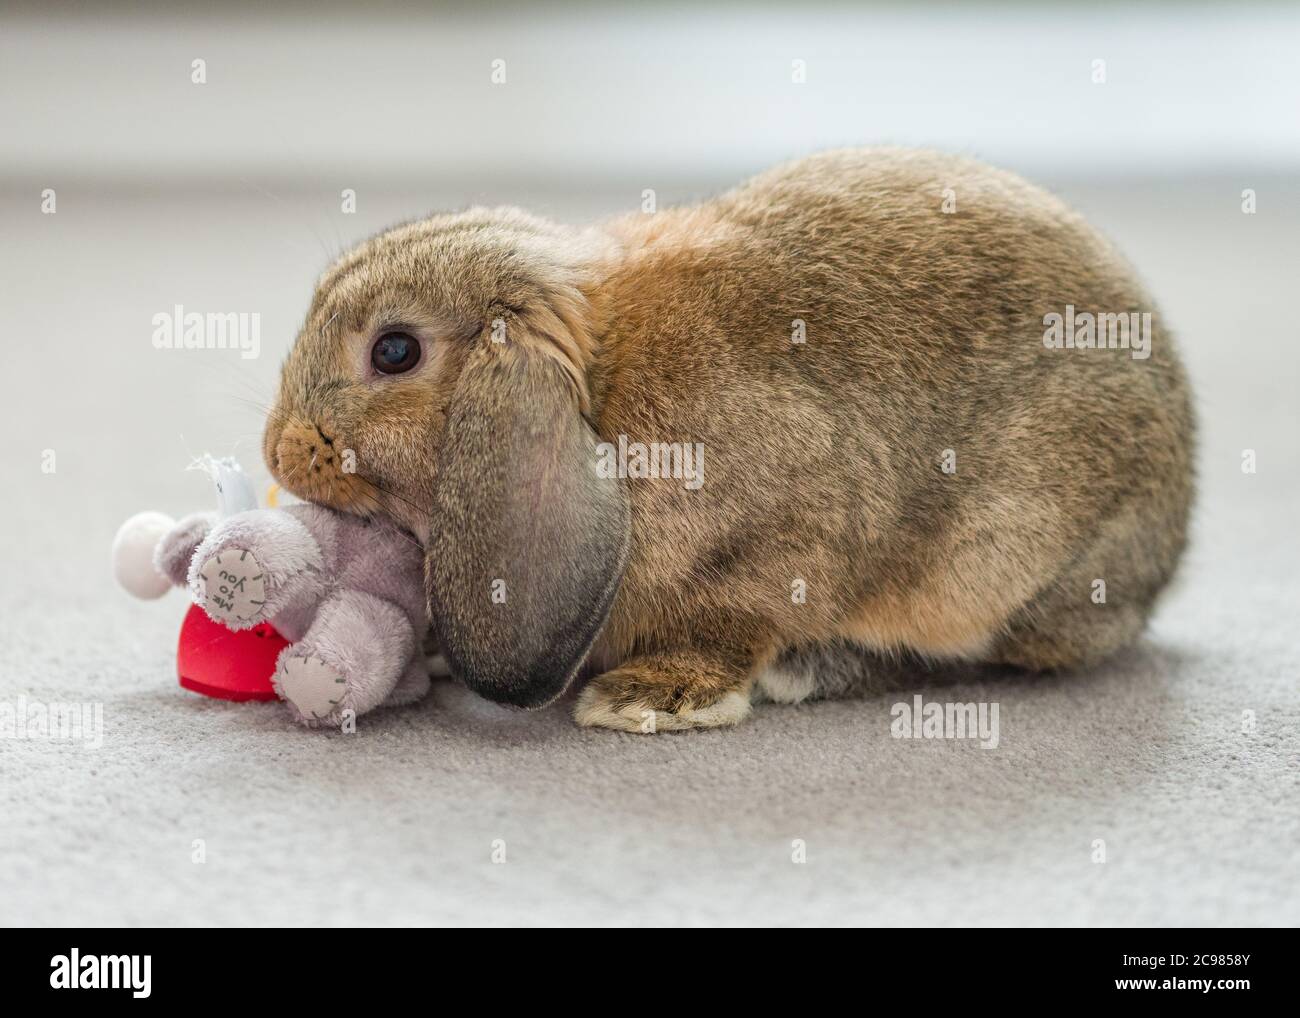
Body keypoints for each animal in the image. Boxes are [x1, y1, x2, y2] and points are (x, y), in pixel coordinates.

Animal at [262, 146, 1194, 732]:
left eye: (394, 351)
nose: (277, 451)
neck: (604, 387)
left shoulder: (773, 554)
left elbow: (731, 630)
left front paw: (650, 698)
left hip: (992, 566)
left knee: (977, 658)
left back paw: (806, 671)